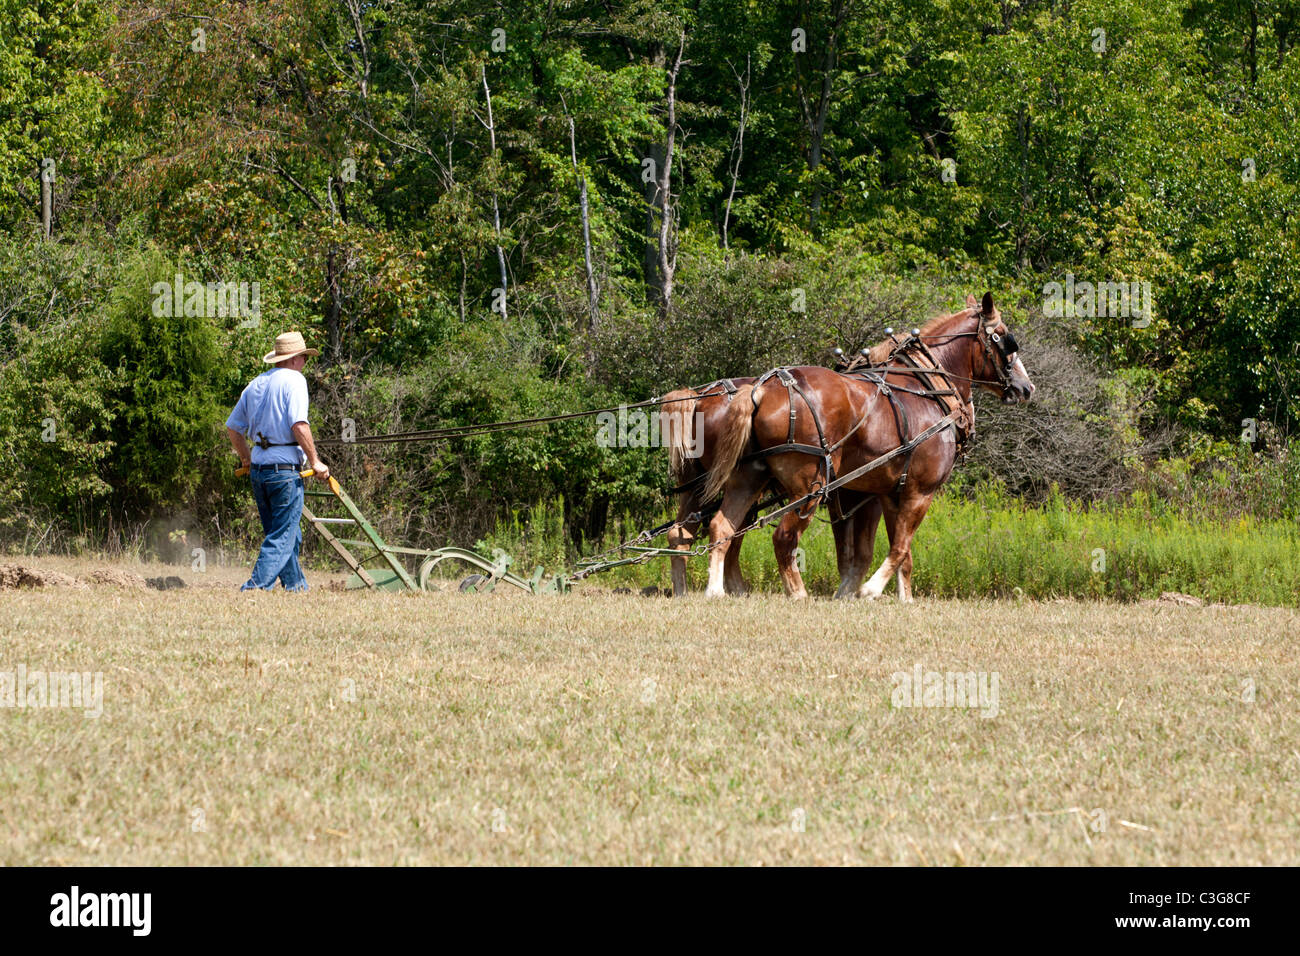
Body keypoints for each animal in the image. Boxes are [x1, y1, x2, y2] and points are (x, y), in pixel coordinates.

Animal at [700, 292, 1035, 601]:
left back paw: (716, 590)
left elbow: (901, 554)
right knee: (784, 537)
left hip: (749, 476)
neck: (928, 389)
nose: (1026, 387)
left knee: (722, 527)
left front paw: (904, 598)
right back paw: (798, 594)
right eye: (1004, 338)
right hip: (810, 487)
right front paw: (870, 590)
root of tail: (761, 389)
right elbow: (899, 548)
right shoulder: (920, 492)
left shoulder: (889, 493)